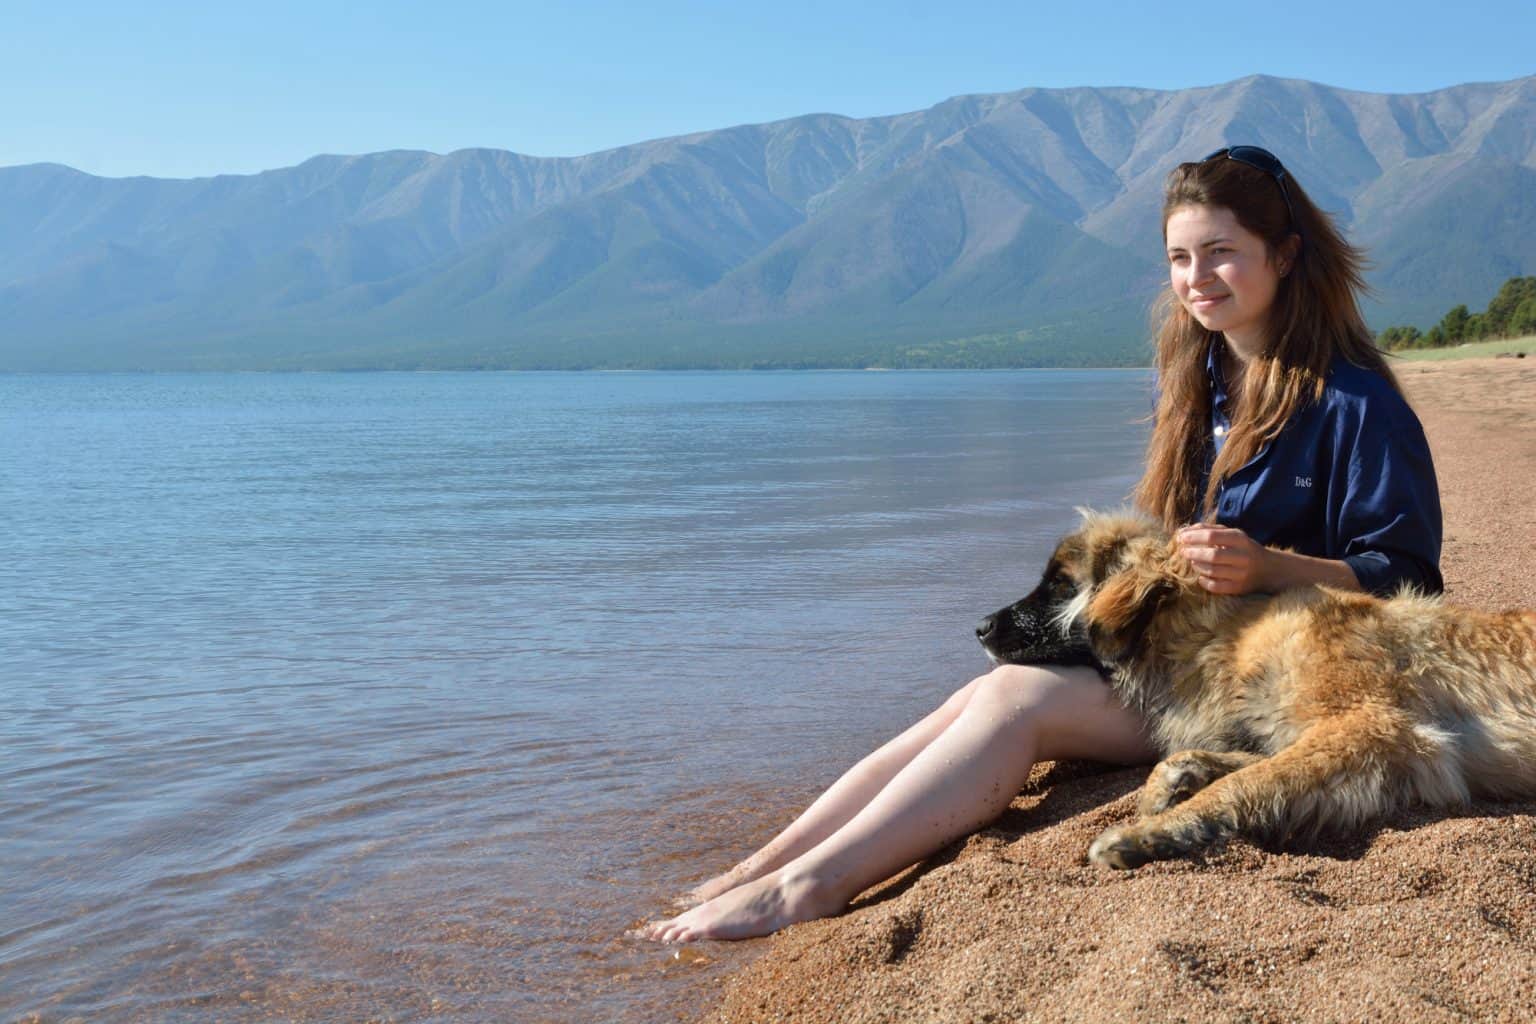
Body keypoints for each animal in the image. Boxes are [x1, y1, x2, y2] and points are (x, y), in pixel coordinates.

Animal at [976, 510, 1536, 870]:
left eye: (1059, 584)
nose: (978, 628)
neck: (1225, 635)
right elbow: (1226, 763)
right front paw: (1168, 789)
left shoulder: (1371, 728)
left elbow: (1242, 783)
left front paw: (1146, 834)